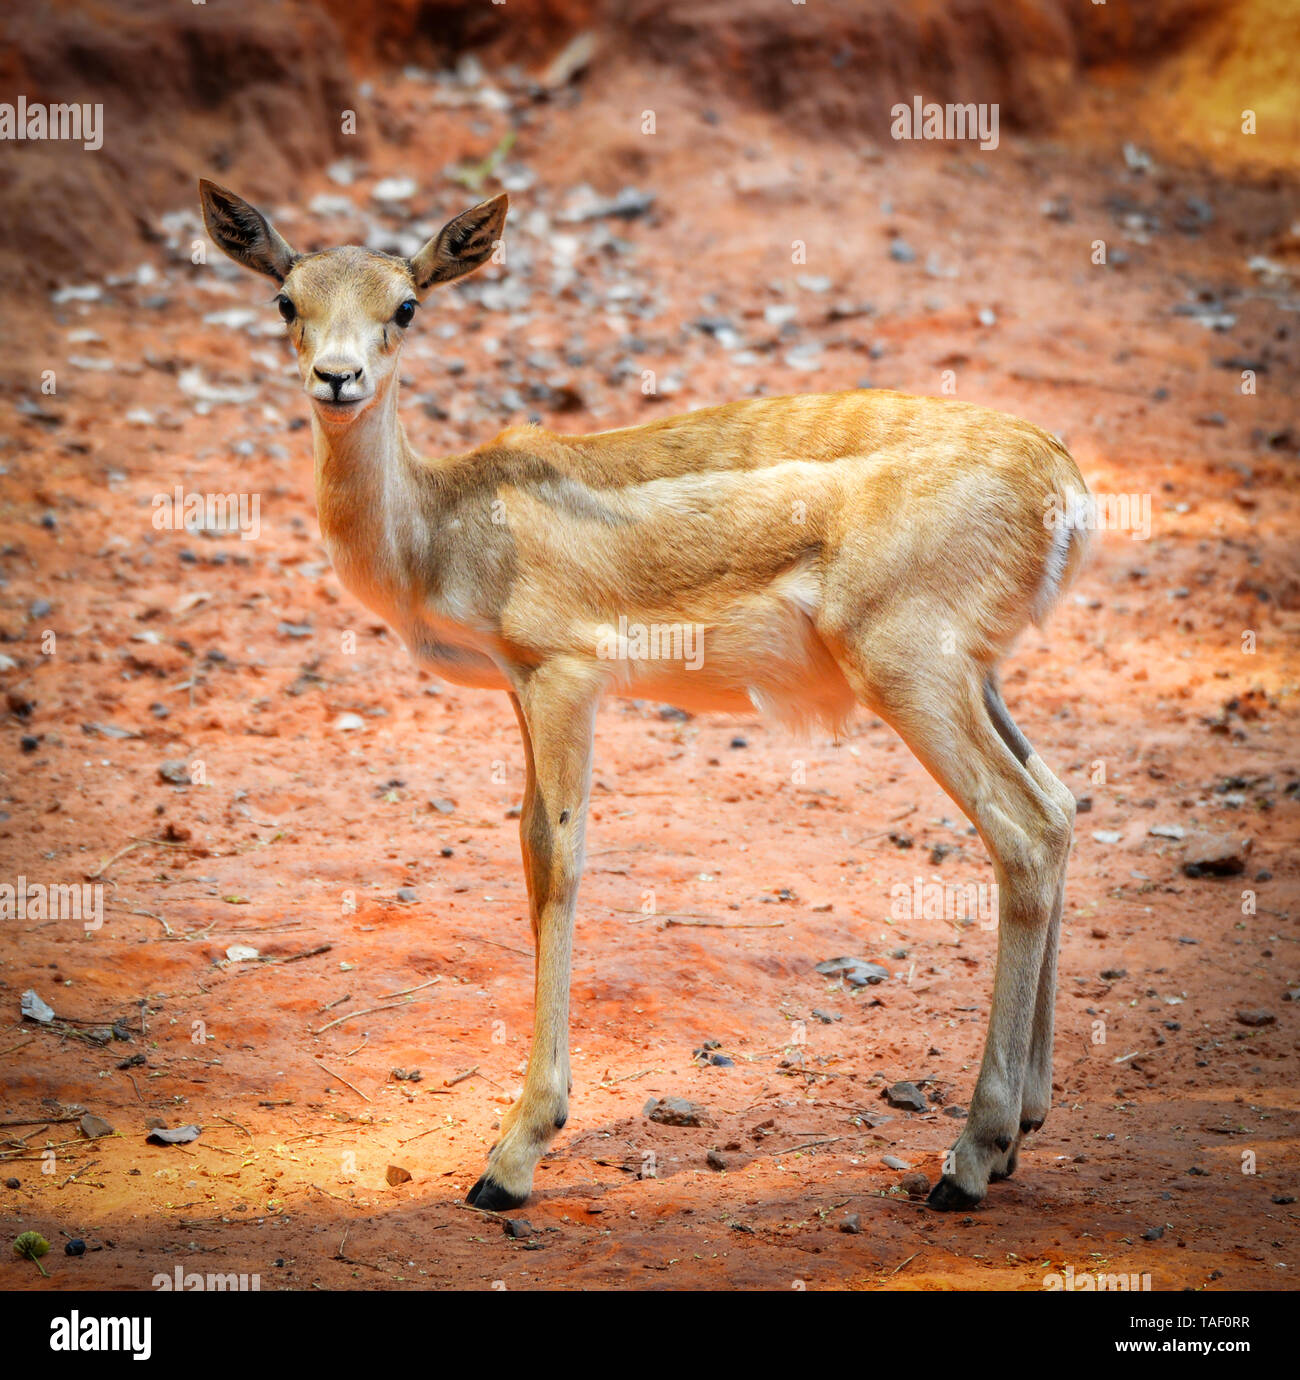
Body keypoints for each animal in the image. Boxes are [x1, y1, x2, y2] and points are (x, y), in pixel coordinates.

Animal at [199, 178, 1089, 1214]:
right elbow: (525, 847)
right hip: (975, 677)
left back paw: (970, 1157)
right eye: (285, 300)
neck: (446, 524)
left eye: (407, 305)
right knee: (1061, 805)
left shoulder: (565, 676)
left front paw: (513, 1155)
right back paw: (1023, 1126)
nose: (337, 378)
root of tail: (1064, 482)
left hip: (912, 673)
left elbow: (560, 861)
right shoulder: (517, 686)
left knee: (1022, 831)